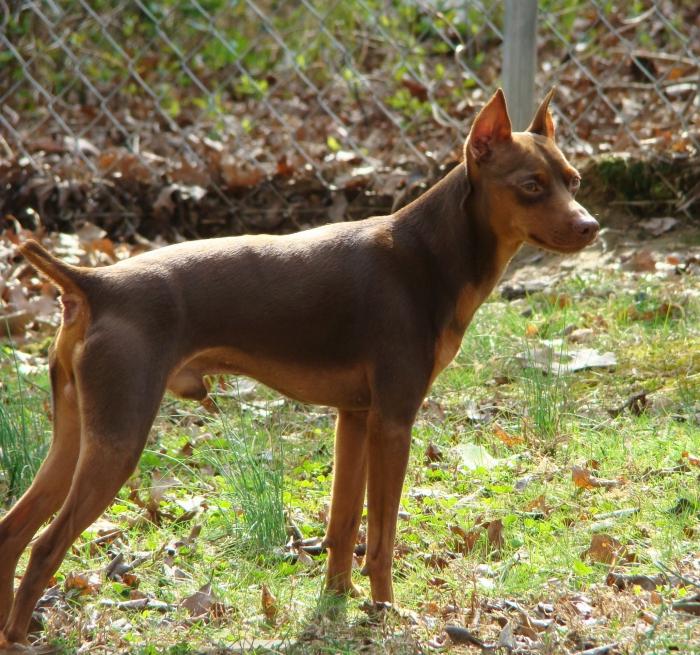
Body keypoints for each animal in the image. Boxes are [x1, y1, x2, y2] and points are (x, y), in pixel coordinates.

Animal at [2, 88, 600, 644]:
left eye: (572, 180)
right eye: (531, 185)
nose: (591, 226)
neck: (429, 253)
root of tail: (94, 283)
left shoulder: (355, 418)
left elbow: (343, 527)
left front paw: (337, 602)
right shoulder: (394, 422)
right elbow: (381, 537)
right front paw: (386, 610)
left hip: (76, 437)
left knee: (13, 531)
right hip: (119, 441)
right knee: (45, 546)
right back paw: (19, 636)